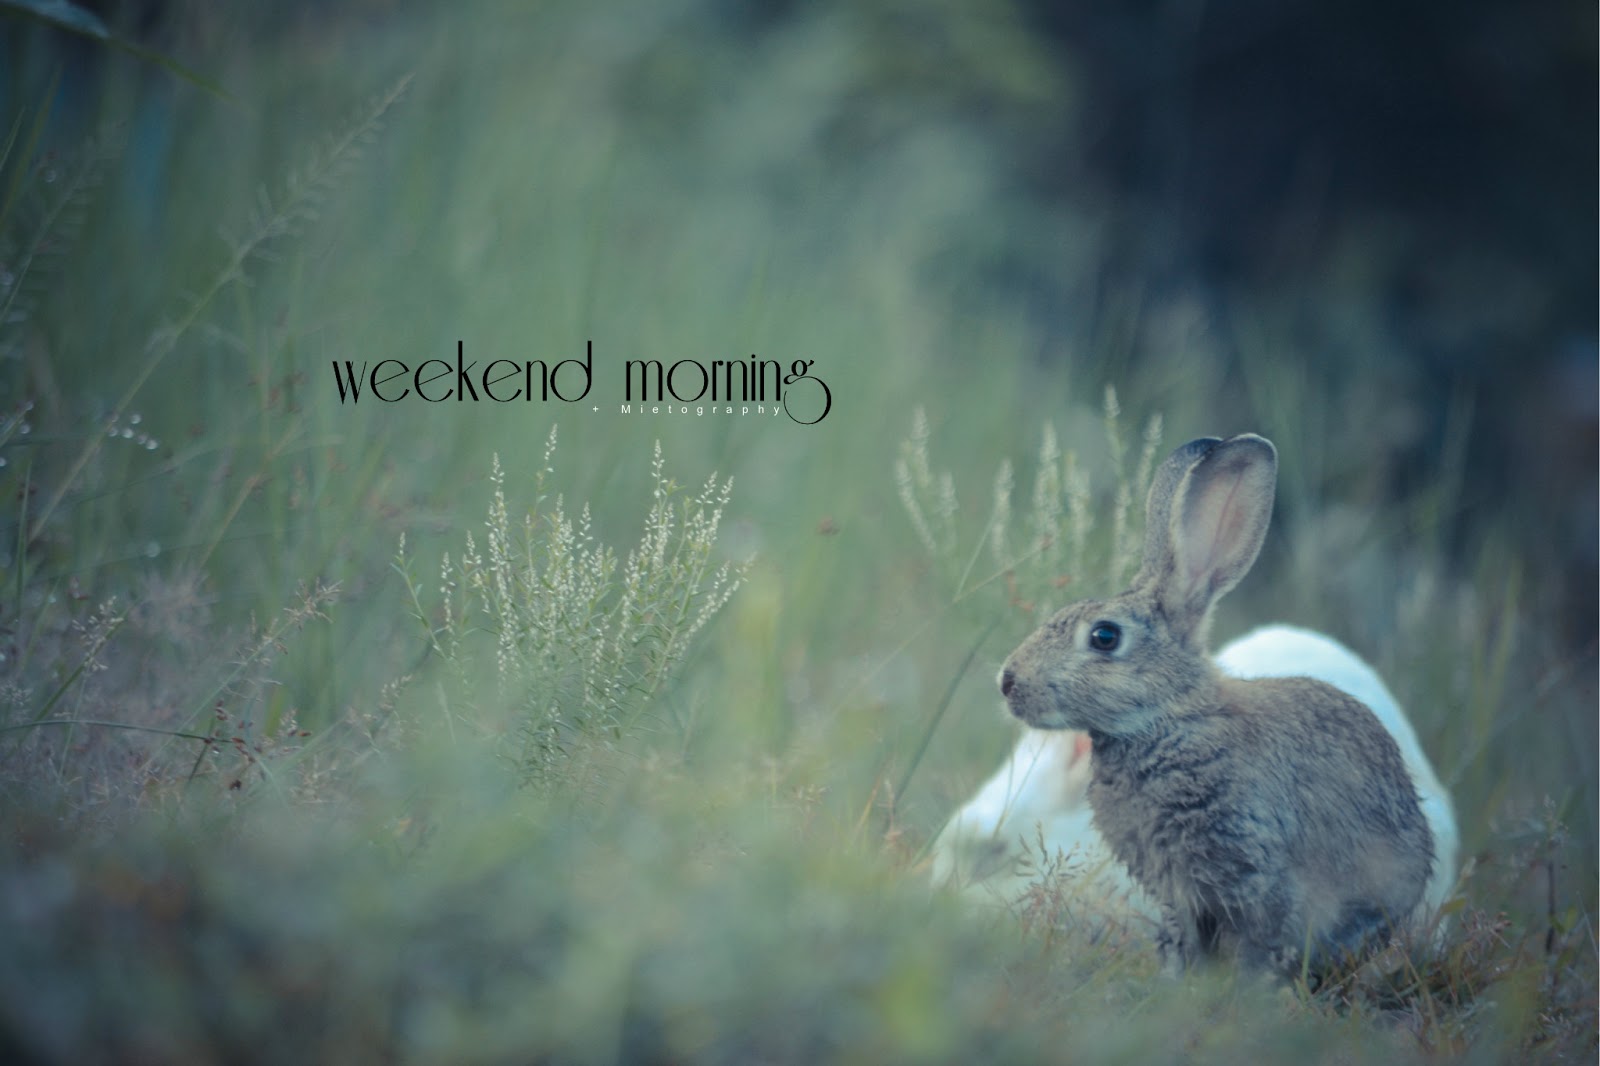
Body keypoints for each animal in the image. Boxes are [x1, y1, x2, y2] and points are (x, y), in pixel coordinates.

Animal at [996, 434, 1434, 977]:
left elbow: (1256, 937)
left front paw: (1242, 986)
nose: (1008, 681)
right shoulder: (1176, 887)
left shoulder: (1252, 862)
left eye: (1104, 637)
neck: (1168, 719)